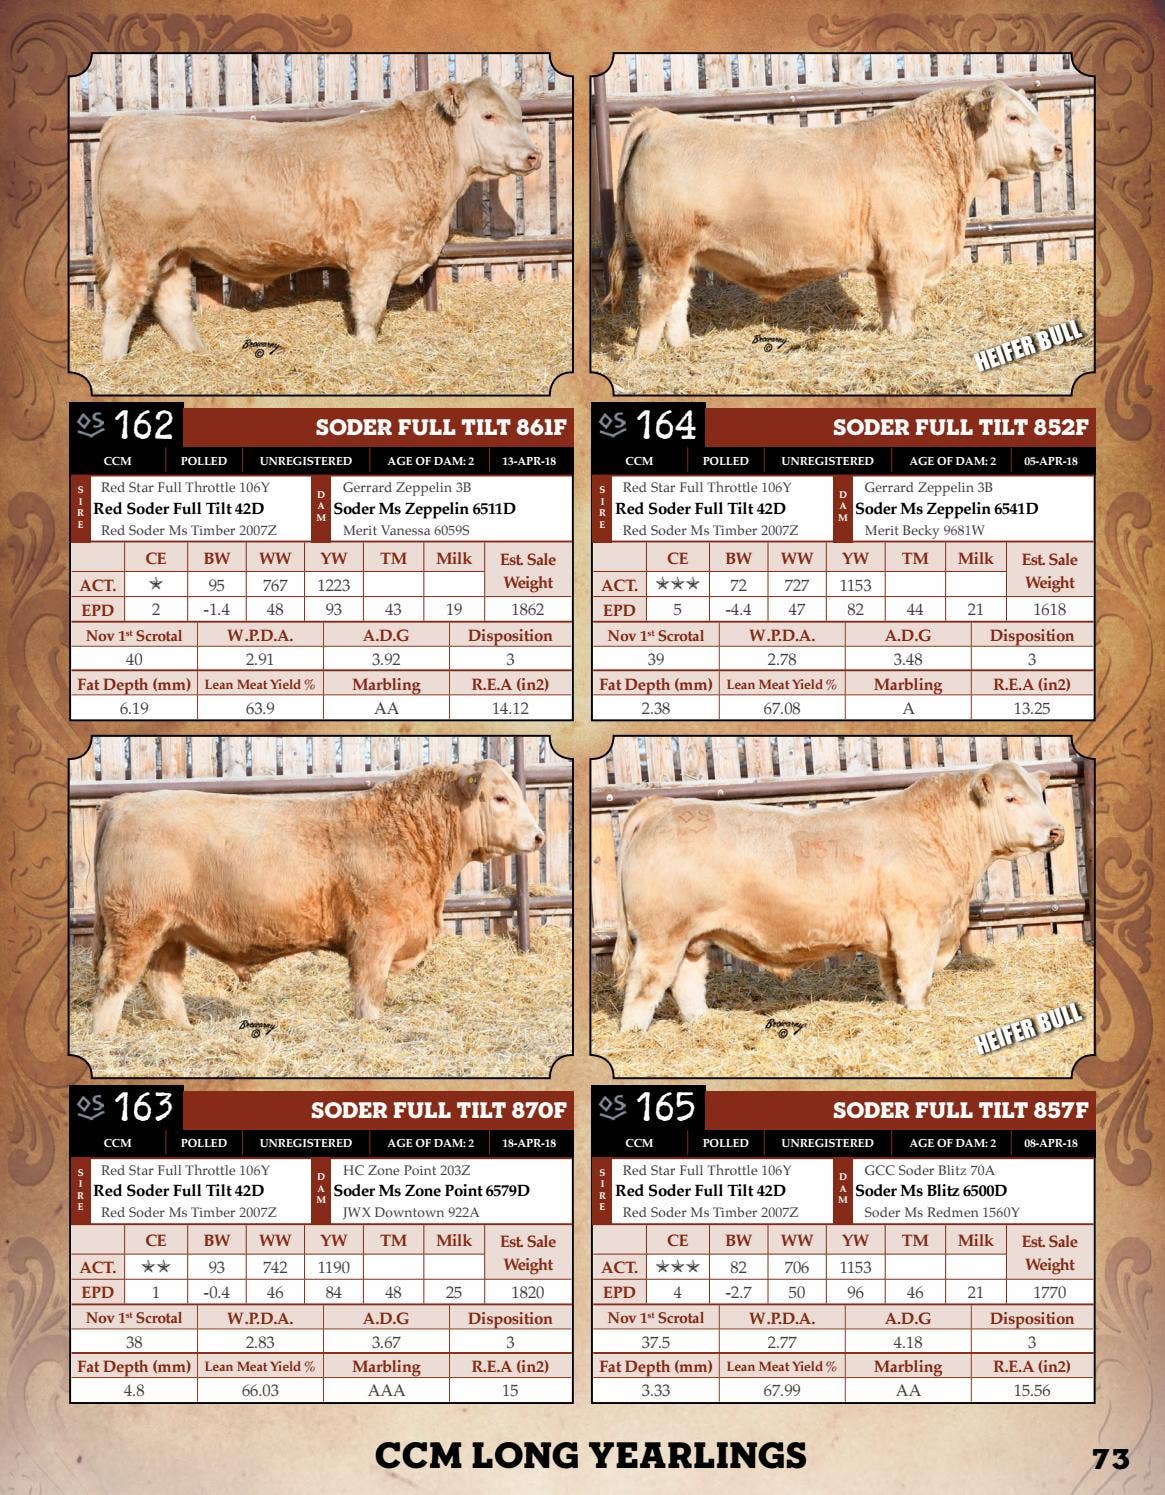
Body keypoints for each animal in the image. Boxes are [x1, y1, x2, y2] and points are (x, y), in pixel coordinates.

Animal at [88, 760, 544, 1036]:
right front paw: (372, 1026)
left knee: (161, 978)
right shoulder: (374, 936)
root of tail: (124, 801)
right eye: (500, 798)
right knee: (117, 977)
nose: (538, 836)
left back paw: (184, 1029)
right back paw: (104, 1035)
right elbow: (369, 990)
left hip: (170, 930)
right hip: (135, 923)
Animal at [92, 78, 542, 360]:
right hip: (137, 249)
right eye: (488, 116)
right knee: (122, 301)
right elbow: (369, 307)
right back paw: (115, 362)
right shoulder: (375, 254)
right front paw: (366, 349)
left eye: (519, 115)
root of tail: (128, 121)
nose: (533, 155)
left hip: (173, 252)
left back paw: (196, 353)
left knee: (170, 302)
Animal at [604, 82, 1064, 352]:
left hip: (683, 253)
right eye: (1013, 116)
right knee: (655, 298)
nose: (1059, 147)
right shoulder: (906, 255)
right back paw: (646, 356)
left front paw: (889, 333)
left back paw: (681, 347)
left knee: (677, 297)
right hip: (665, 247)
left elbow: (886, 302)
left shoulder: (885, 260)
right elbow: (904, 301)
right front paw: (905, 337)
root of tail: (661, 119)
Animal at [611, 762, 1065, 1032]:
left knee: (686, 981)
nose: (1056, 830)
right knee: (645, 985)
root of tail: (662, 805)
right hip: (661, 935)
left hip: (691, 936)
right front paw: (919, 1015)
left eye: (1041, 795)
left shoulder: (893, 936)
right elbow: (916, 978)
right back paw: (634, 1034)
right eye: (1011, 798)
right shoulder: (917, 925)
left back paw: (702, 1022)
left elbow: (893, 979)